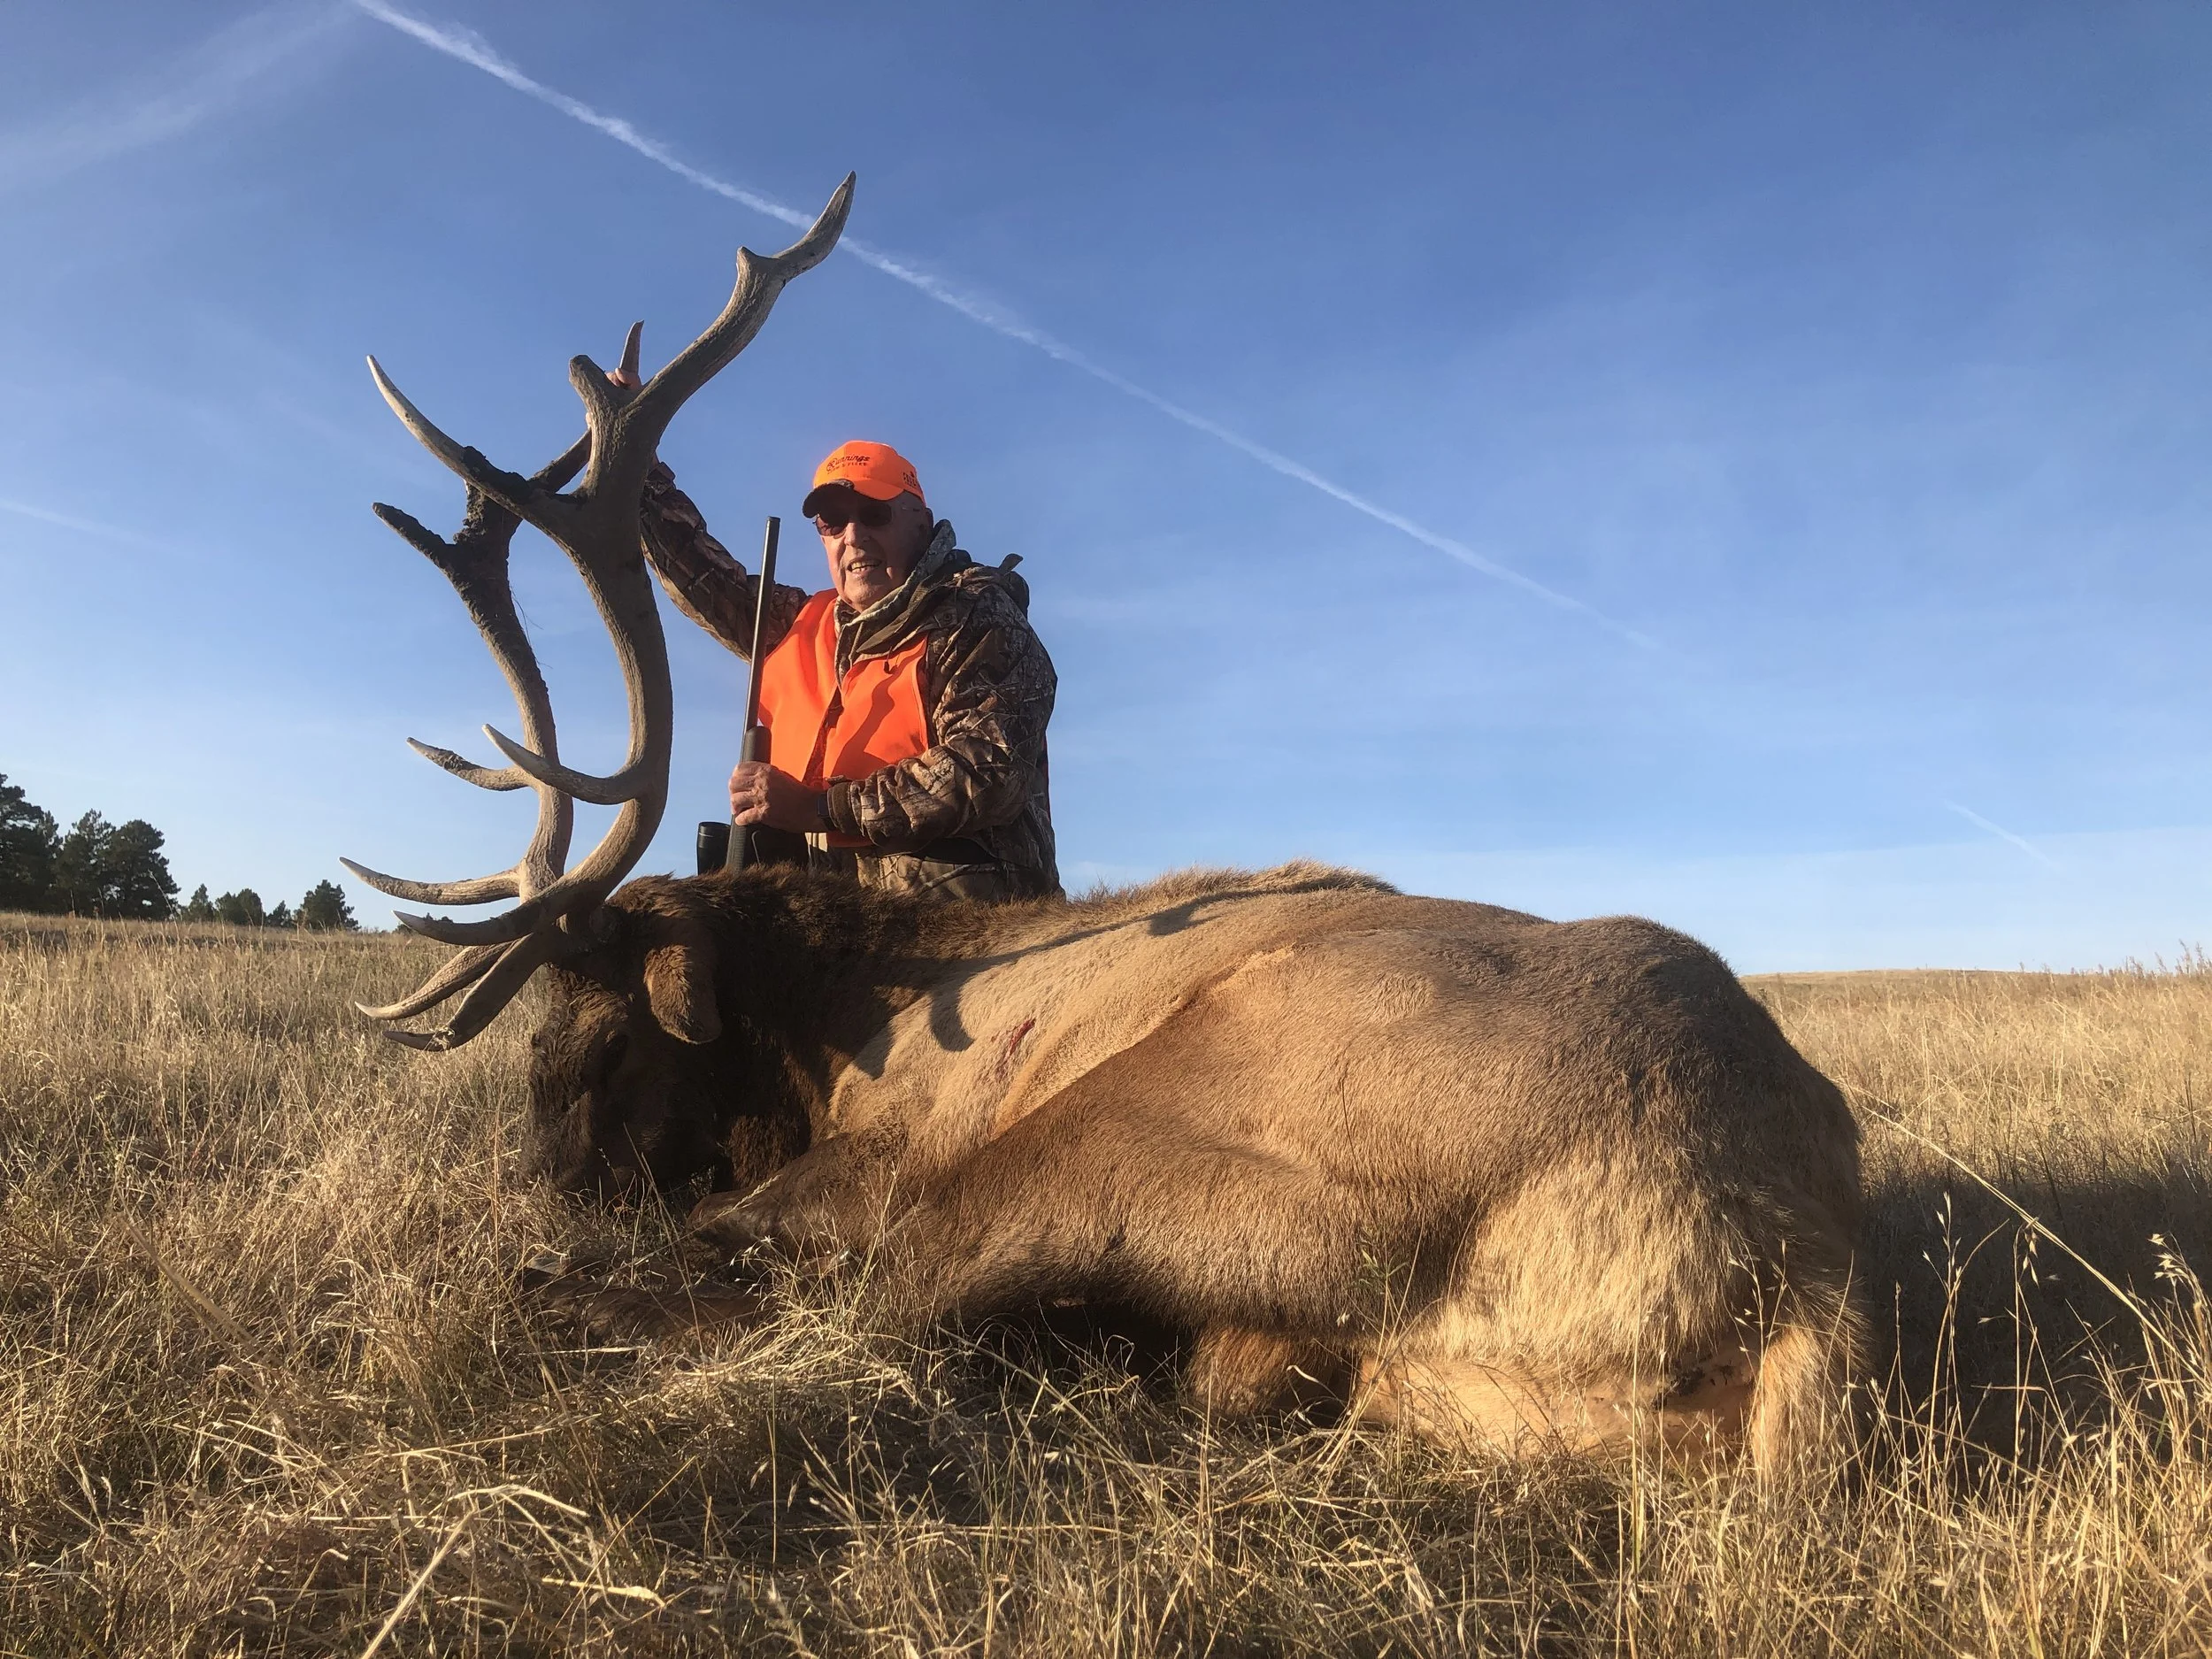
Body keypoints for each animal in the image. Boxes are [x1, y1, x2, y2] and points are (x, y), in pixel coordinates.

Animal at [345, 174, 1868, 1475]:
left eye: (609, 1040)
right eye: (538, 1040)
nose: (541, 1192)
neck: (824, 1020)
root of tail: (1800, 1273)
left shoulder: (896, 1141)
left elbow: (779, 1234)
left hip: (1140, 1125)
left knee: (889, 1291)